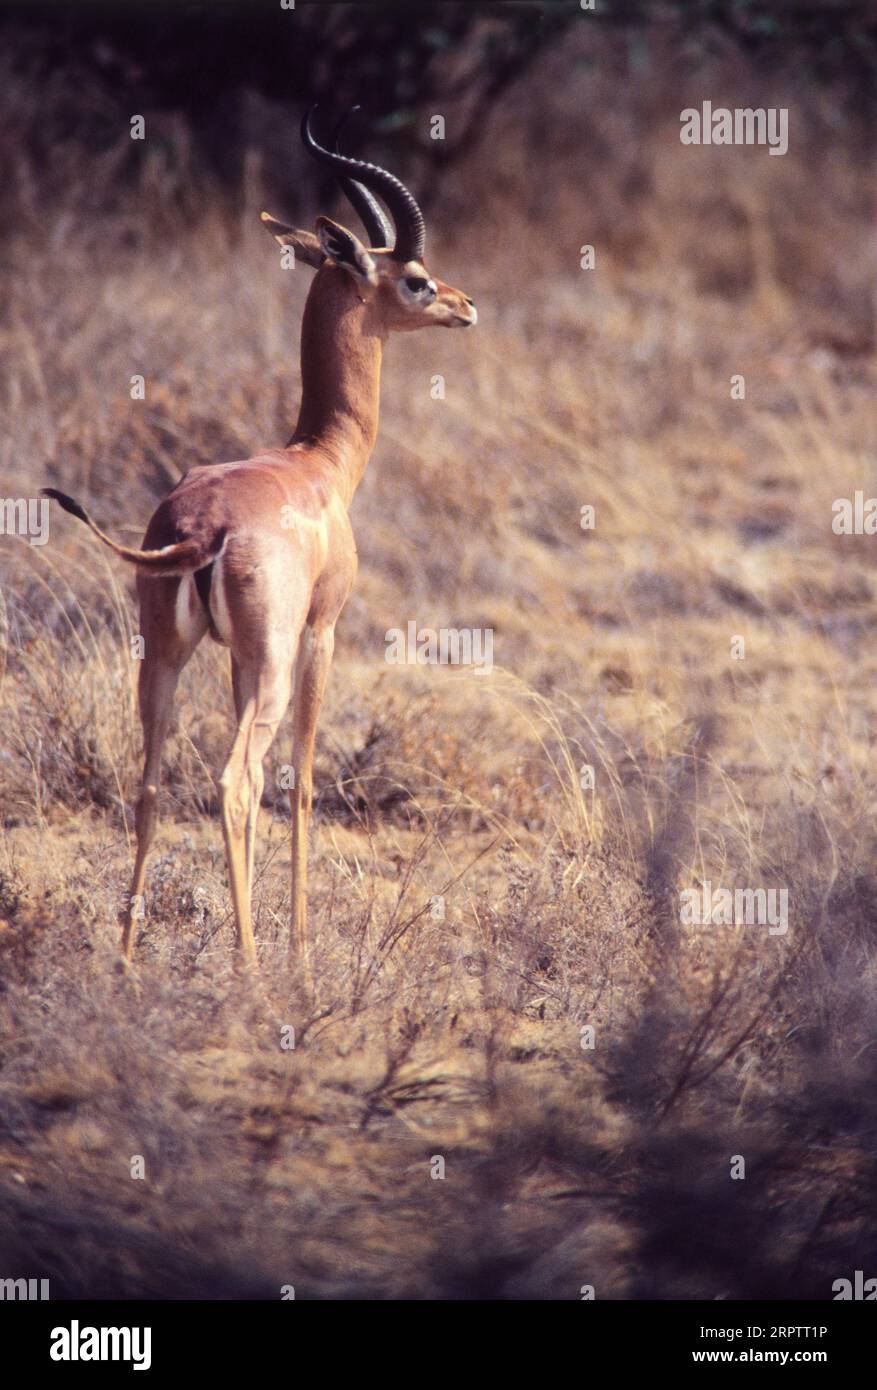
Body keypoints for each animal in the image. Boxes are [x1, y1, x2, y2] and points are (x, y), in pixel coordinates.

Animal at [45, 108, 477, 976]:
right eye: (413, 277)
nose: (464, 303)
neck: (317, 461)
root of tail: (202, 529)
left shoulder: (228, 658)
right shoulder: (321, 633)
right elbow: (304, 780)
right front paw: (301, 944)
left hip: (165, 655)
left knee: (150, 783)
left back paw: (127, 957)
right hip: (270, 665)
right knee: (236, 781)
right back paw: (247, 967)